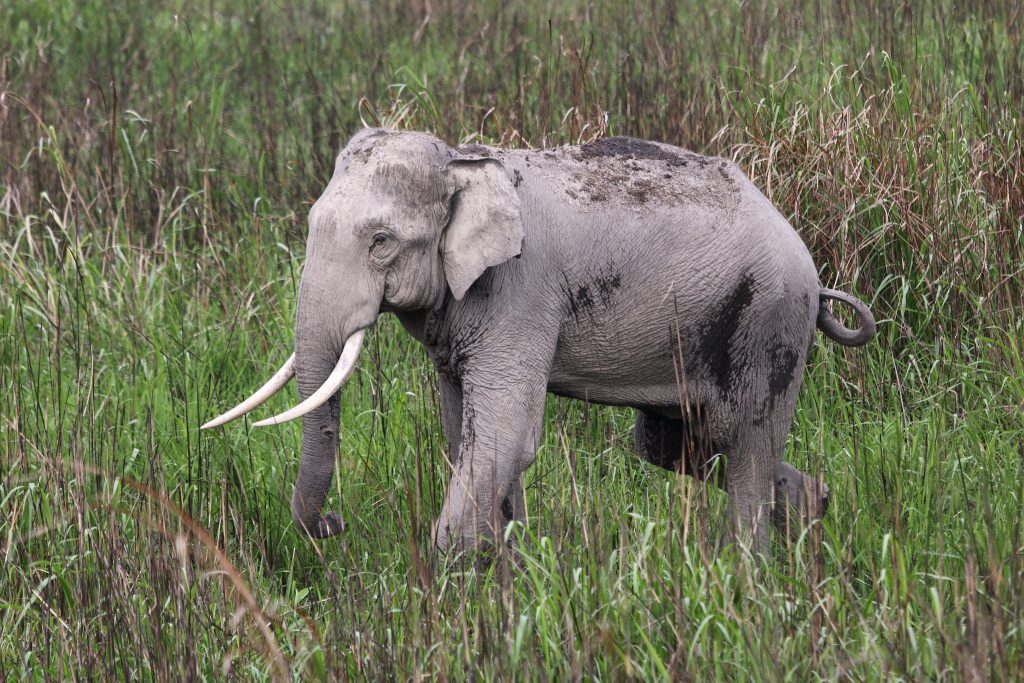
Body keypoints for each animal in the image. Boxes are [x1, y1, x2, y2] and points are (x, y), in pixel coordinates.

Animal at [202, 128, 875, 556]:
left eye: (381, 243)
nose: (336, 524)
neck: (463, 161)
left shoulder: (520, 292)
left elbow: (506, 433)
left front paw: (466, 577)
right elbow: (465, 431)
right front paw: (518, 572)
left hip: (769, 318)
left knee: (746, 439)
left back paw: (748, 579)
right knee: (677, 442)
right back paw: (815, 509)